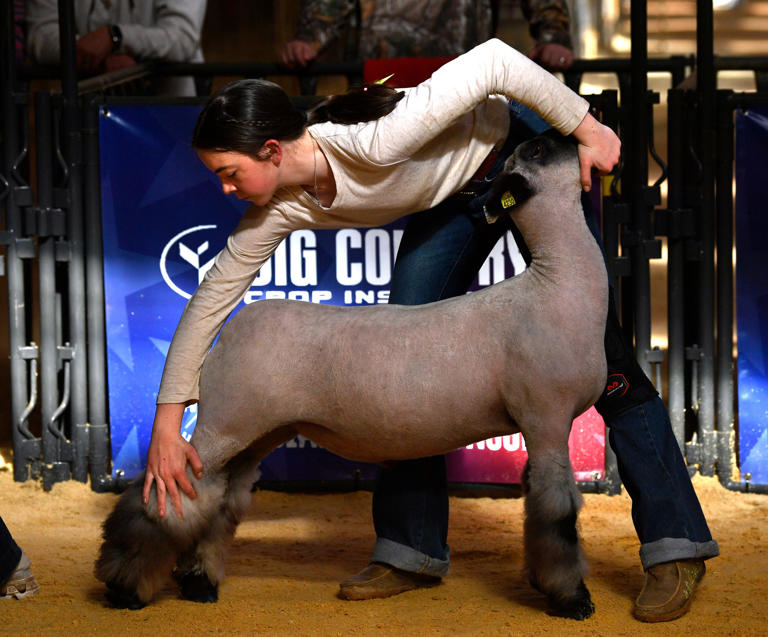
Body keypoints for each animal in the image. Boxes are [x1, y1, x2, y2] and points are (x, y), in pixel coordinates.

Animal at [95, 132, 608, 620]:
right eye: (539, 149)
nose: (577, 133)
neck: (554, 284)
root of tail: (231, 327)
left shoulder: (546, 424)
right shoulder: (546, 418)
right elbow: (558, 514)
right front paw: (571, 598)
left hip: (256, 433)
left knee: (217, 500)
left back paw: (199, 583)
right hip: (225, 422)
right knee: (169, 495)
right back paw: (124, 587)